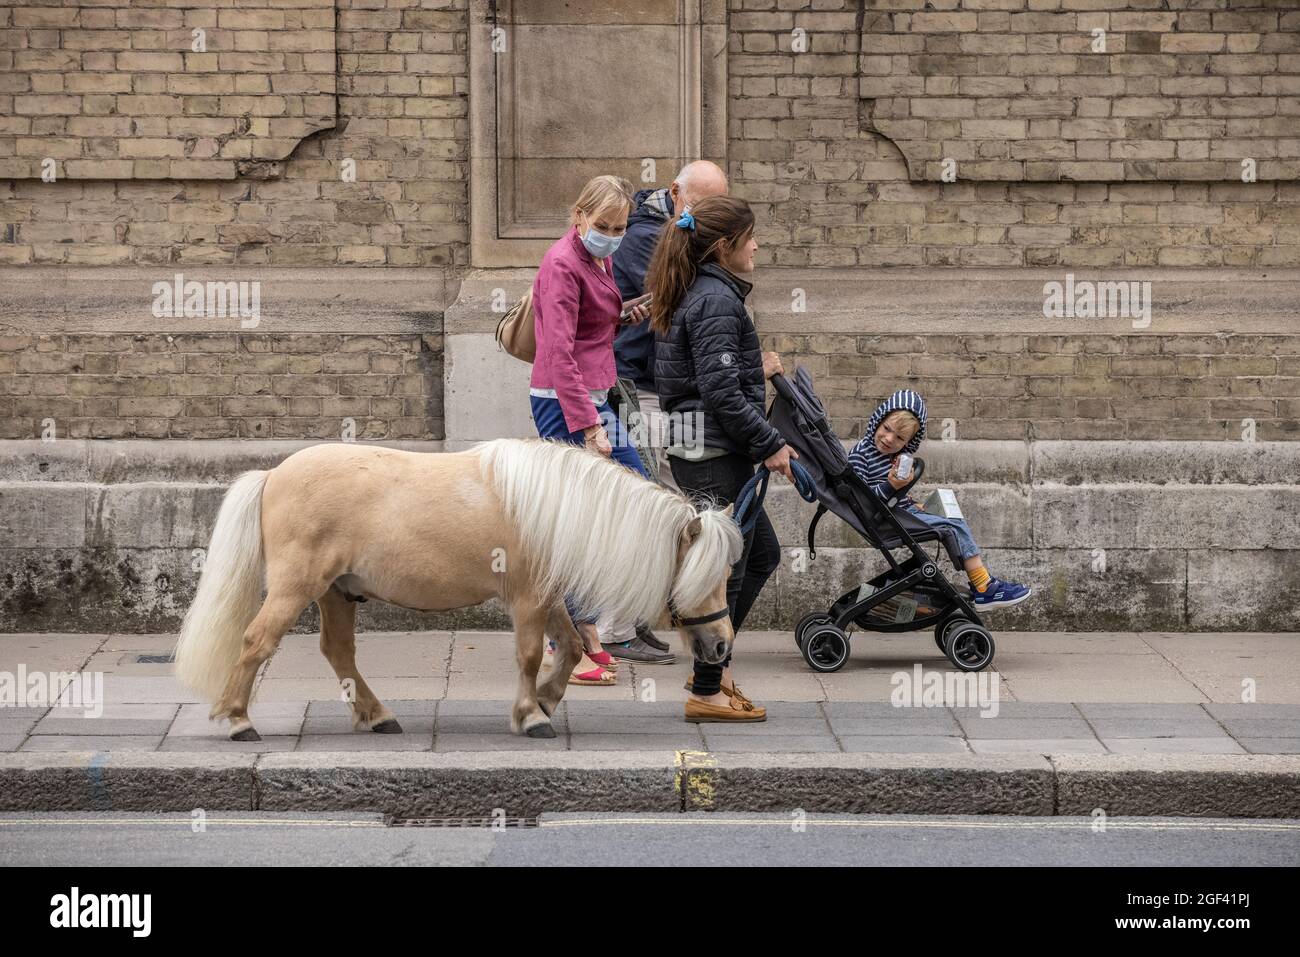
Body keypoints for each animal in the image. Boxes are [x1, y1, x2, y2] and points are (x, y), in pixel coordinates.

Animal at [172, 437, 742, 741]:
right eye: (706, 576)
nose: (721, 645)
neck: (554, 507)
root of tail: (272, 474)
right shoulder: (528, 598)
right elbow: (531, 655)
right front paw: (530, 715)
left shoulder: (548, 596)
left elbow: (571, 647)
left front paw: (547, 700)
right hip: (297, 588)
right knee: (255, 643)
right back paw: (238, 720)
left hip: (336, 592)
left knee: (338, 651)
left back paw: (376, 715)